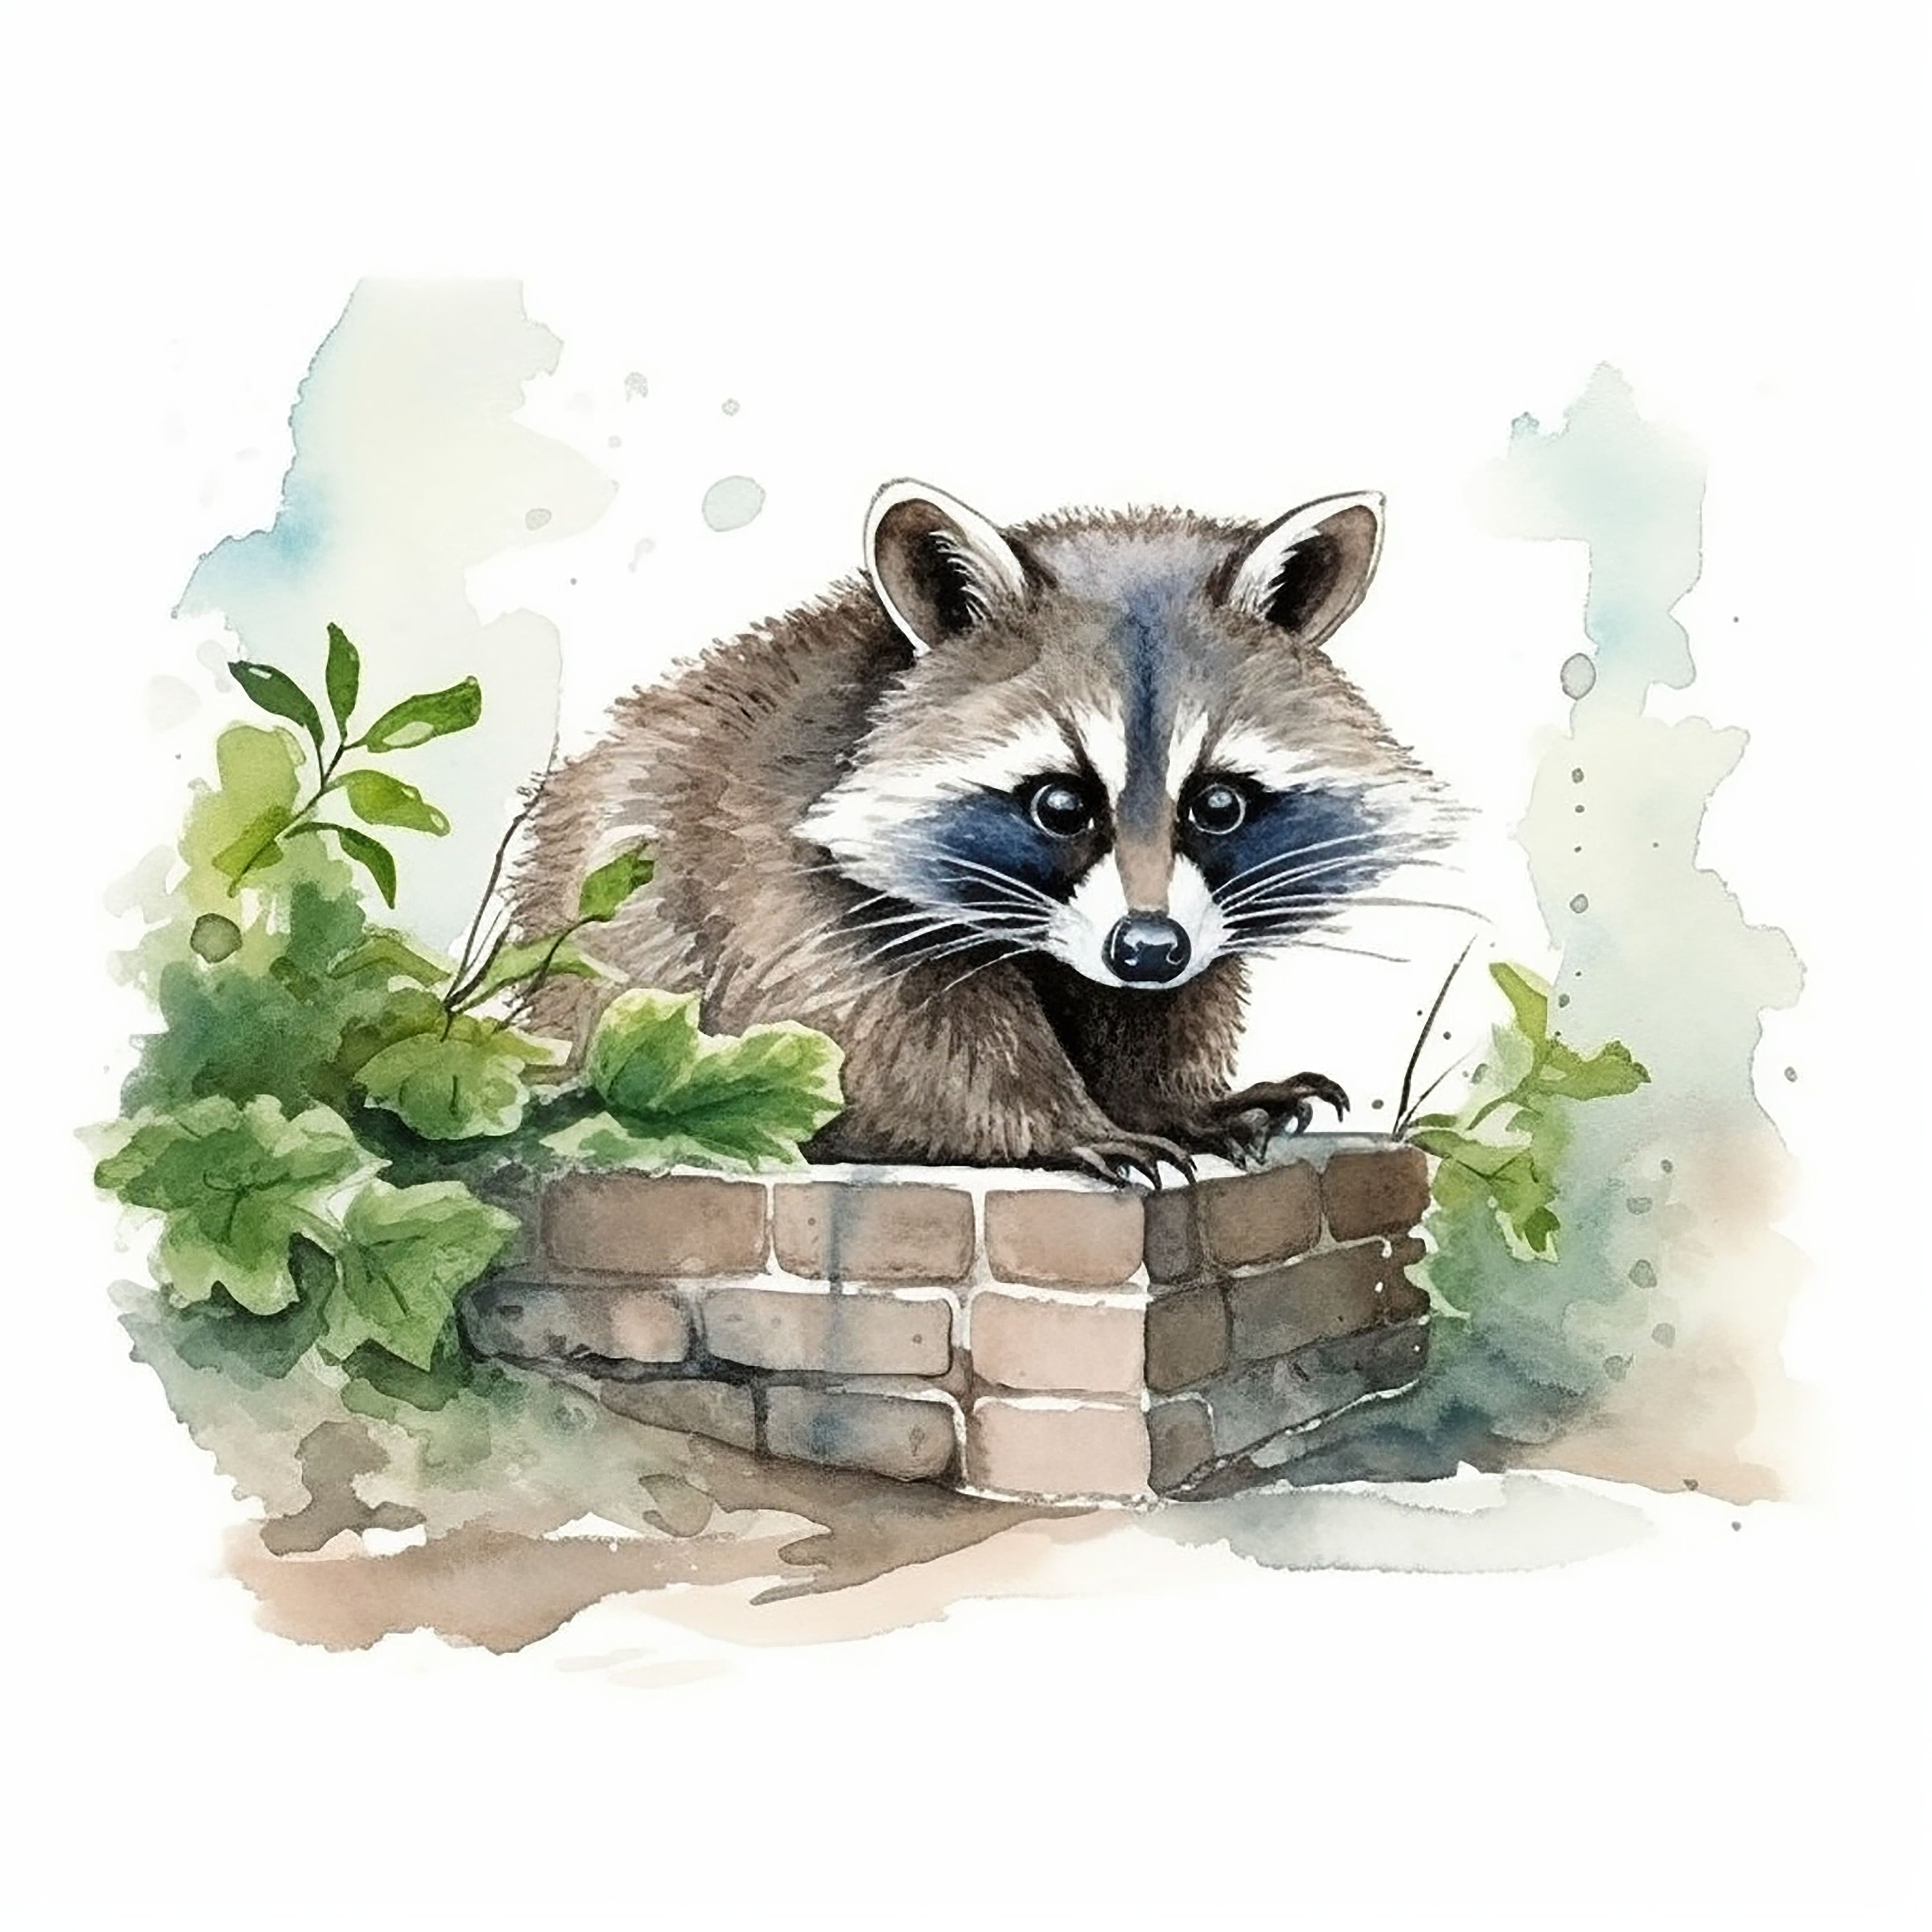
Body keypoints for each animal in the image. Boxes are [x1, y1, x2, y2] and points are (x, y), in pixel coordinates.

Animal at [512, 481, 1452, 1182]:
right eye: (1061, 805)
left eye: (1218, 805)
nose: (1148, 949)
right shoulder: (779, 876)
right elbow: (894, 1039)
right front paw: (1061, 1125)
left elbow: (1164, 1012)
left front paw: (1172, 1100)